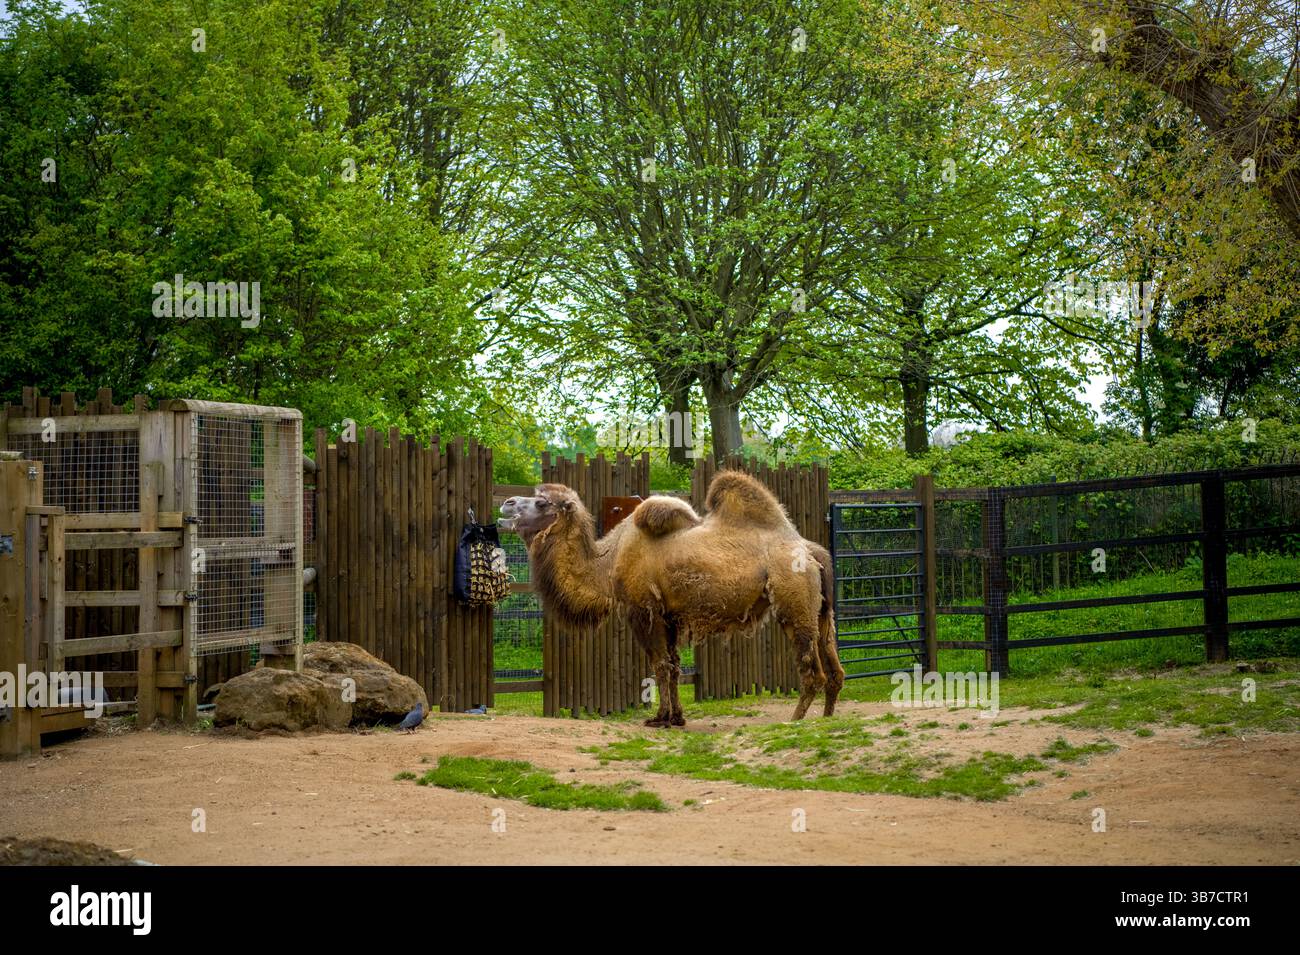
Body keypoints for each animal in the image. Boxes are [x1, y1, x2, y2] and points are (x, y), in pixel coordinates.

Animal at [499, 470, 844, 727]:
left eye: (542, 502)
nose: (506, 503)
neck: (608, 564)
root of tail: (810, 551)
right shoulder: (671, 616)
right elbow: (675, 665)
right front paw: (677, 717)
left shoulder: (643, 610)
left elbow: (660, 665)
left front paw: (660, 718)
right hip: (822, 611)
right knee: (835, 668)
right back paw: (827, 719)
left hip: (794, 603)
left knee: (812, 671)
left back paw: (795, 720)